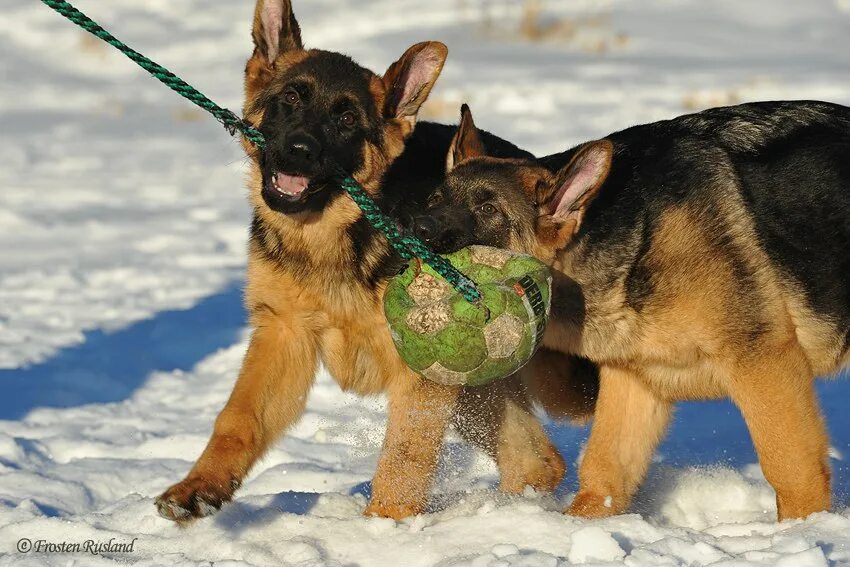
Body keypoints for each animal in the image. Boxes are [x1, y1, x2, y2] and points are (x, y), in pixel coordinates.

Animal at [156, 0, 592, 524]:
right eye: (290, 100)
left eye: (347, 119)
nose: (299, 151)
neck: (337, 231)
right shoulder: (284, 333)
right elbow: (238, 418)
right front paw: (199, 487)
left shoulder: (422, 376)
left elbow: (404, 458)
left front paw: (382, 528)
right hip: (480, 388)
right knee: (538, 461)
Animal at [414, 103, 848, 524]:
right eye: (434, 200)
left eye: (488, 208)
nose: (416, 229)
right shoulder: (633, 379)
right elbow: (605, 468)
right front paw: (577, 526)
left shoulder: (762, 361)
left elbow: (791, 467)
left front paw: (802, 529)